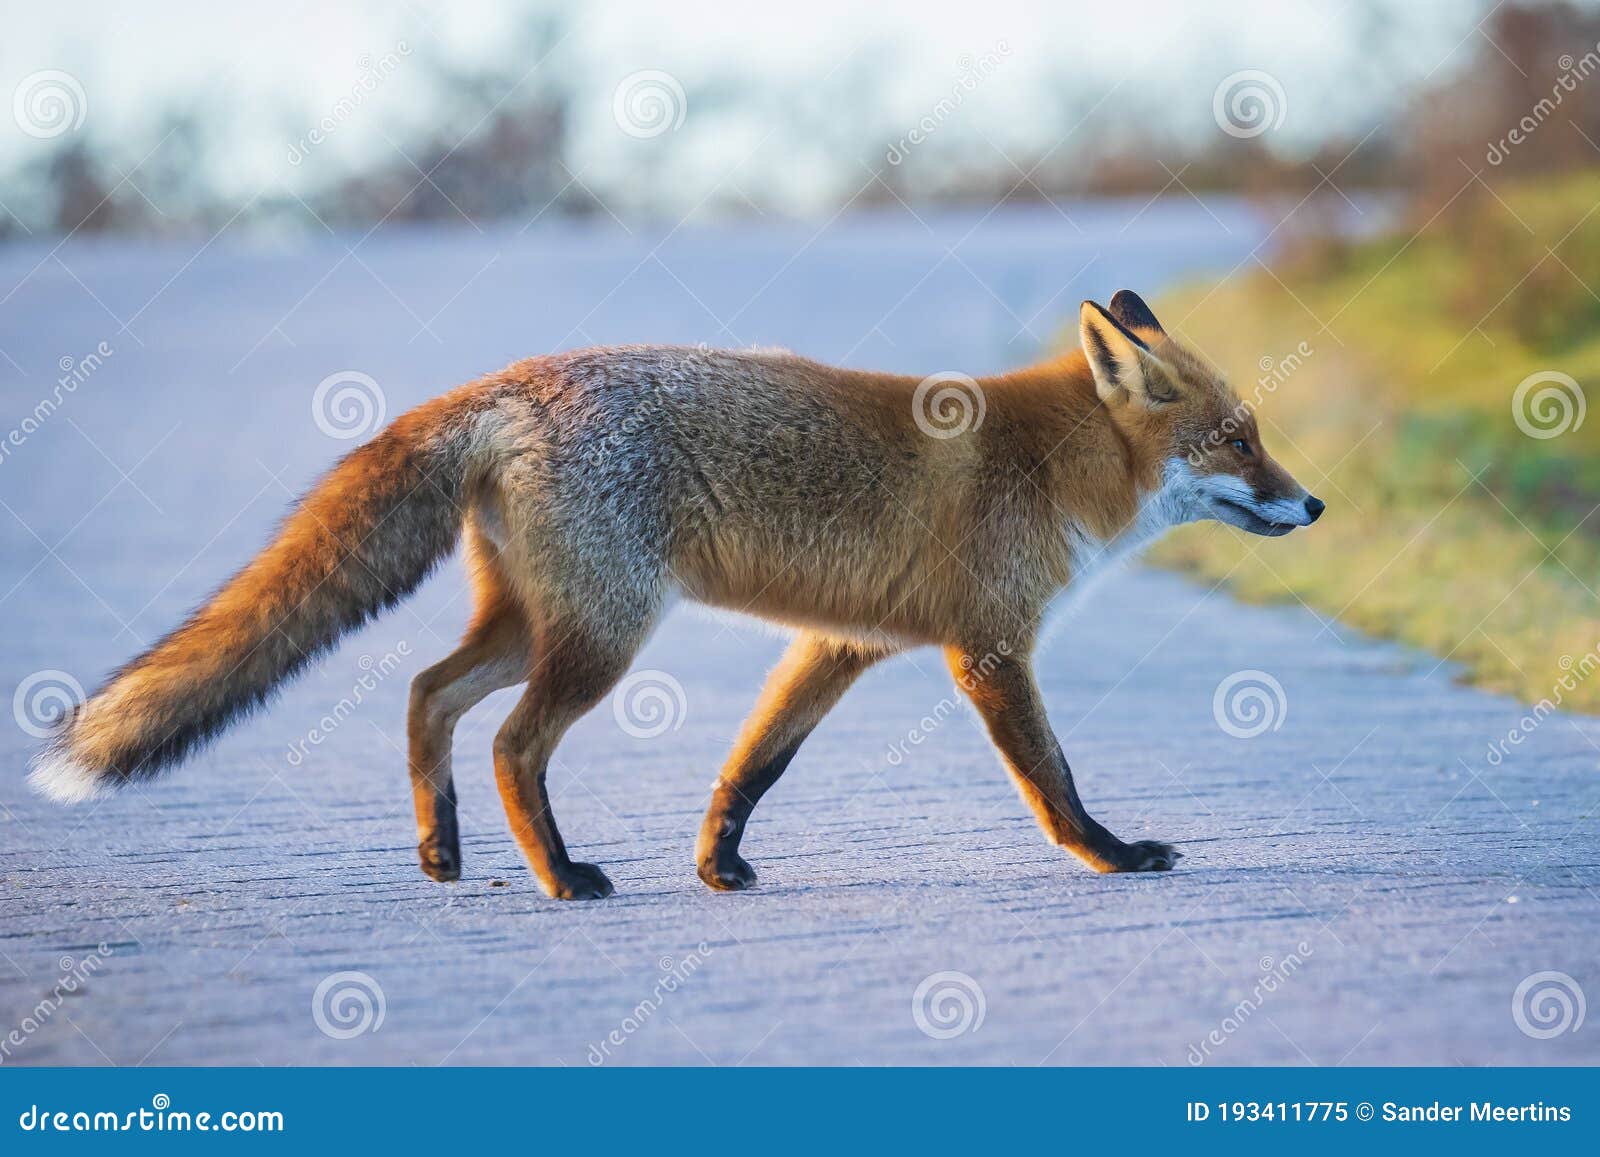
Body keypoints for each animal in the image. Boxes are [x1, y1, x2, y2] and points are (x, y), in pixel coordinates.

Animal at [29, 290, 1322, 900]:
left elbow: (751, 766)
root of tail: (508, 379)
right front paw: (1111, 854)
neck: (1048, 464)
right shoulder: (989, 649)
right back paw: (561, 877)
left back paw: (442, 850)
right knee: (508, 741)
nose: (1312, 505)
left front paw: (717, 865)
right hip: (603, 633)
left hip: (536, 622)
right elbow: (1053, 782)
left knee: (426, 691)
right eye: (1236, 440)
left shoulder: (836, 644)